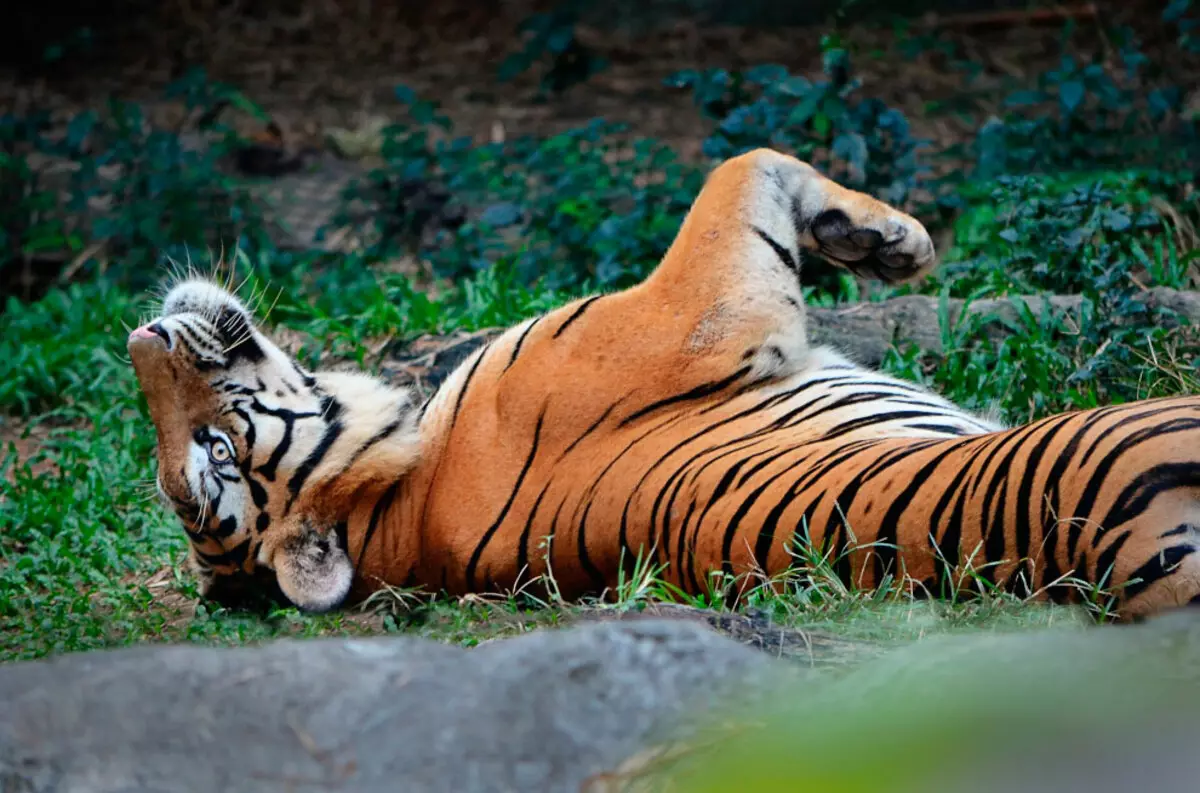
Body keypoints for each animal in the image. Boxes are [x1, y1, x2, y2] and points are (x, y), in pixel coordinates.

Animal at [126, 146, 1200, 619]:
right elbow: (744, 160)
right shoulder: (699, 310)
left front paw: (874, 240)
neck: (391, 513)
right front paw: (896, 240)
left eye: (207, 455)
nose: (145, 334)